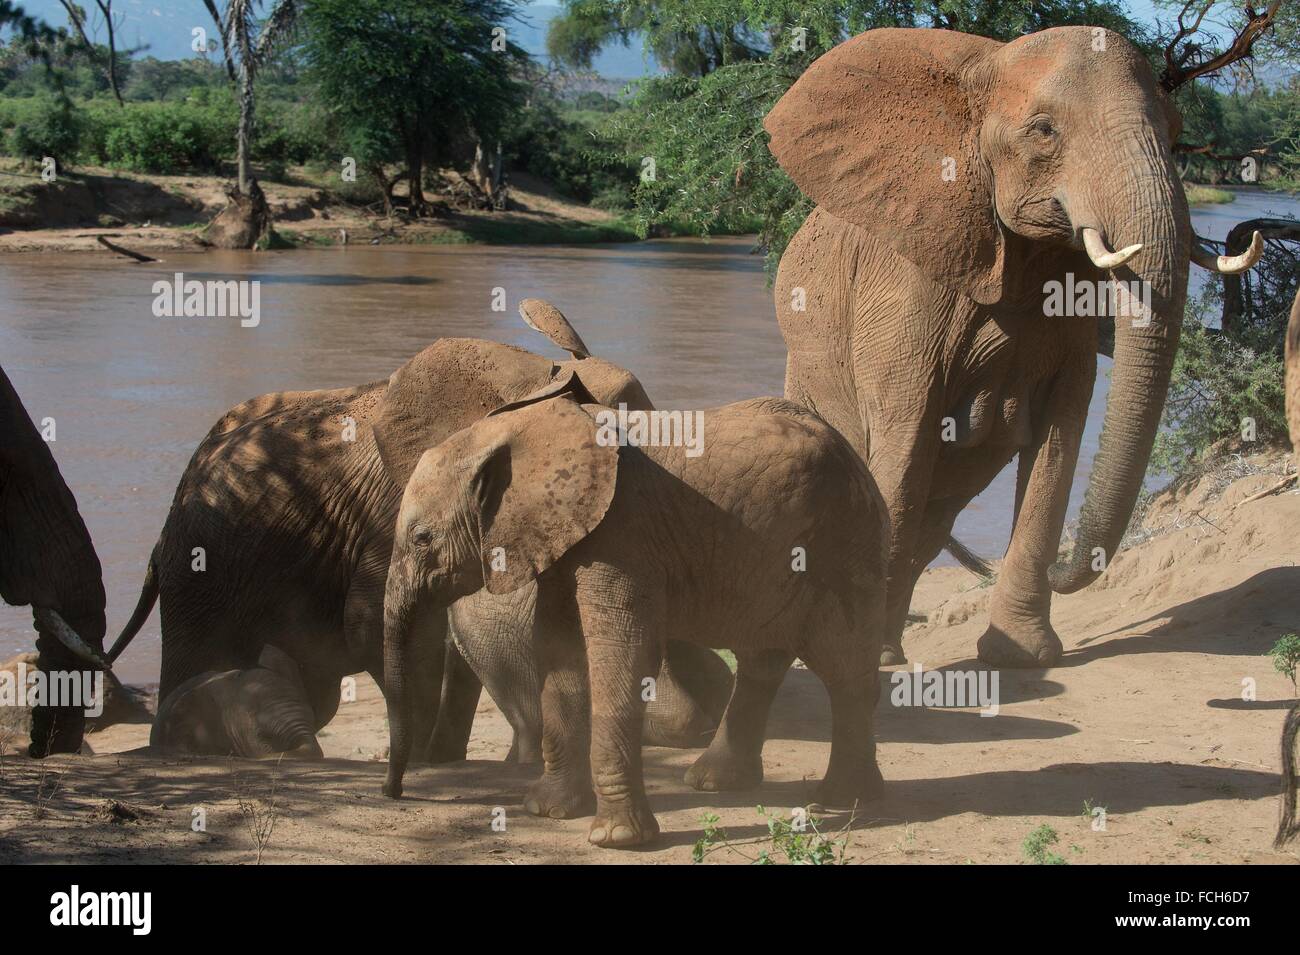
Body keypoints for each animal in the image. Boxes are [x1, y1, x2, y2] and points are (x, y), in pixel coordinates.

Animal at [381, 372, 887, 848]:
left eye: (422, 539)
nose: (394, 792)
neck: (523, 429)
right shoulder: (561, 541)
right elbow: (557, 652)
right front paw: (549, 811)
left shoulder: (622, 536)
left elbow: (622, 654)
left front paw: (618, 839)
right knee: (764, 660)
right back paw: (715, 783)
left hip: (846, 545)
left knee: (843, 667)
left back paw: (842, 800)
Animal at [765, 26, 1261, 668]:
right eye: (1044, 130)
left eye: (1176, 132)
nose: (1068, 567)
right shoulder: (905, 287)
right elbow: (904, 444)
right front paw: (869, 661)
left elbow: (1062, 432)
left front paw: (1022, 655)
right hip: (804, 372)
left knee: (933, 521)